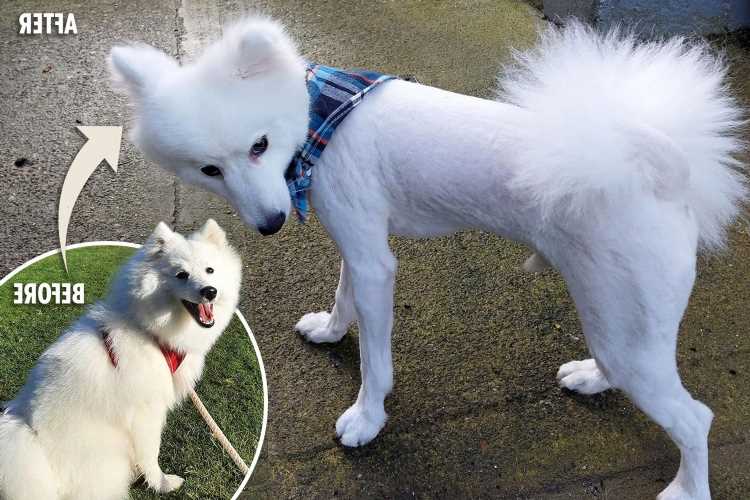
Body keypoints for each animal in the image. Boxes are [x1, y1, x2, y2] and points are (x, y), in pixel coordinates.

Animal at [0, 222, 242, 500]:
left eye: (210, 270)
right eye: (181, 274)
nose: (209, 291)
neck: (149, 332)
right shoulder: (146, 412)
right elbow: (151, 454)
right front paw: (161, 483)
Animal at [108, 17, 748, 500]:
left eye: (260, 145)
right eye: (208, 169)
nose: (270, 223)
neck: (321, 121)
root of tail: (661, 168)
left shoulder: (375, 262)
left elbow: (374, 362)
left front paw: (367, 419)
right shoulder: (359, 244)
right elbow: (343, 298)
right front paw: (332, 331)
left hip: (624, 323)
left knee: (695, 420)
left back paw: (686, 489)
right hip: (616, 321)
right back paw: (591, 379)